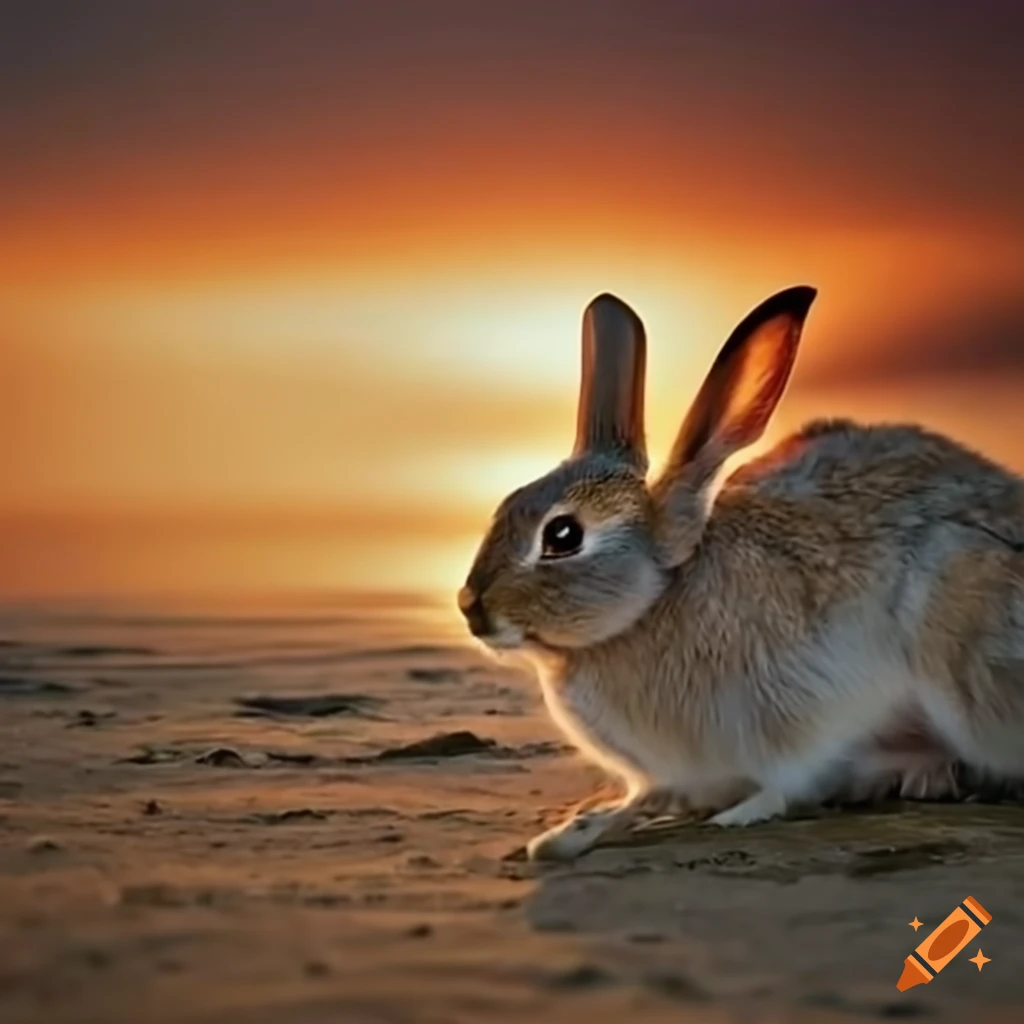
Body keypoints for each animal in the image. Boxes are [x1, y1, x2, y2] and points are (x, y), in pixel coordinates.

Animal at [457, 286, 1024, 861]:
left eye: (563, 536)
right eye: (506, 505)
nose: (470, 608)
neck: (649, 605)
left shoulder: (806, 719)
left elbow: (788, 781)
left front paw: (737, 816)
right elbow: (647, 797)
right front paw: (568, 833)